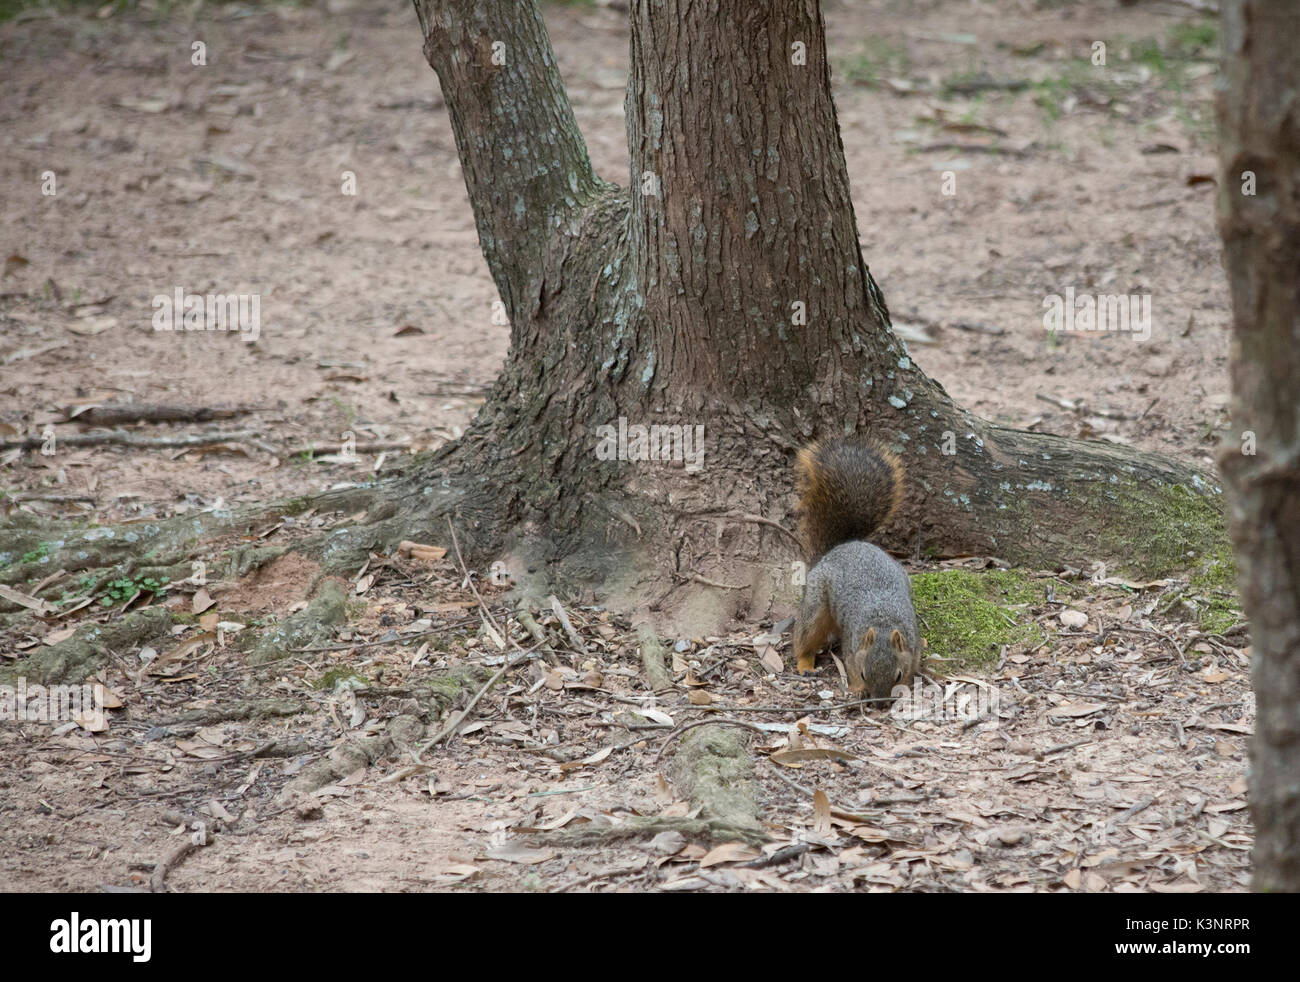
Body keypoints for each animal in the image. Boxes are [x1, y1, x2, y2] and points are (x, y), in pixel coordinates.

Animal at [792, 439, 924, 702]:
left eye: (898, 675)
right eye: (864, 673)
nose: (880, 703)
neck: (883, 621)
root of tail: (844, 545)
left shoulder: (912, 649)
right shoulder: (853, 648)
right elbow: (849, 664)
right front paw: (856, 688)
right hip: (815, 604)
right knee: (804, 637)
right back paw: (805, 664)